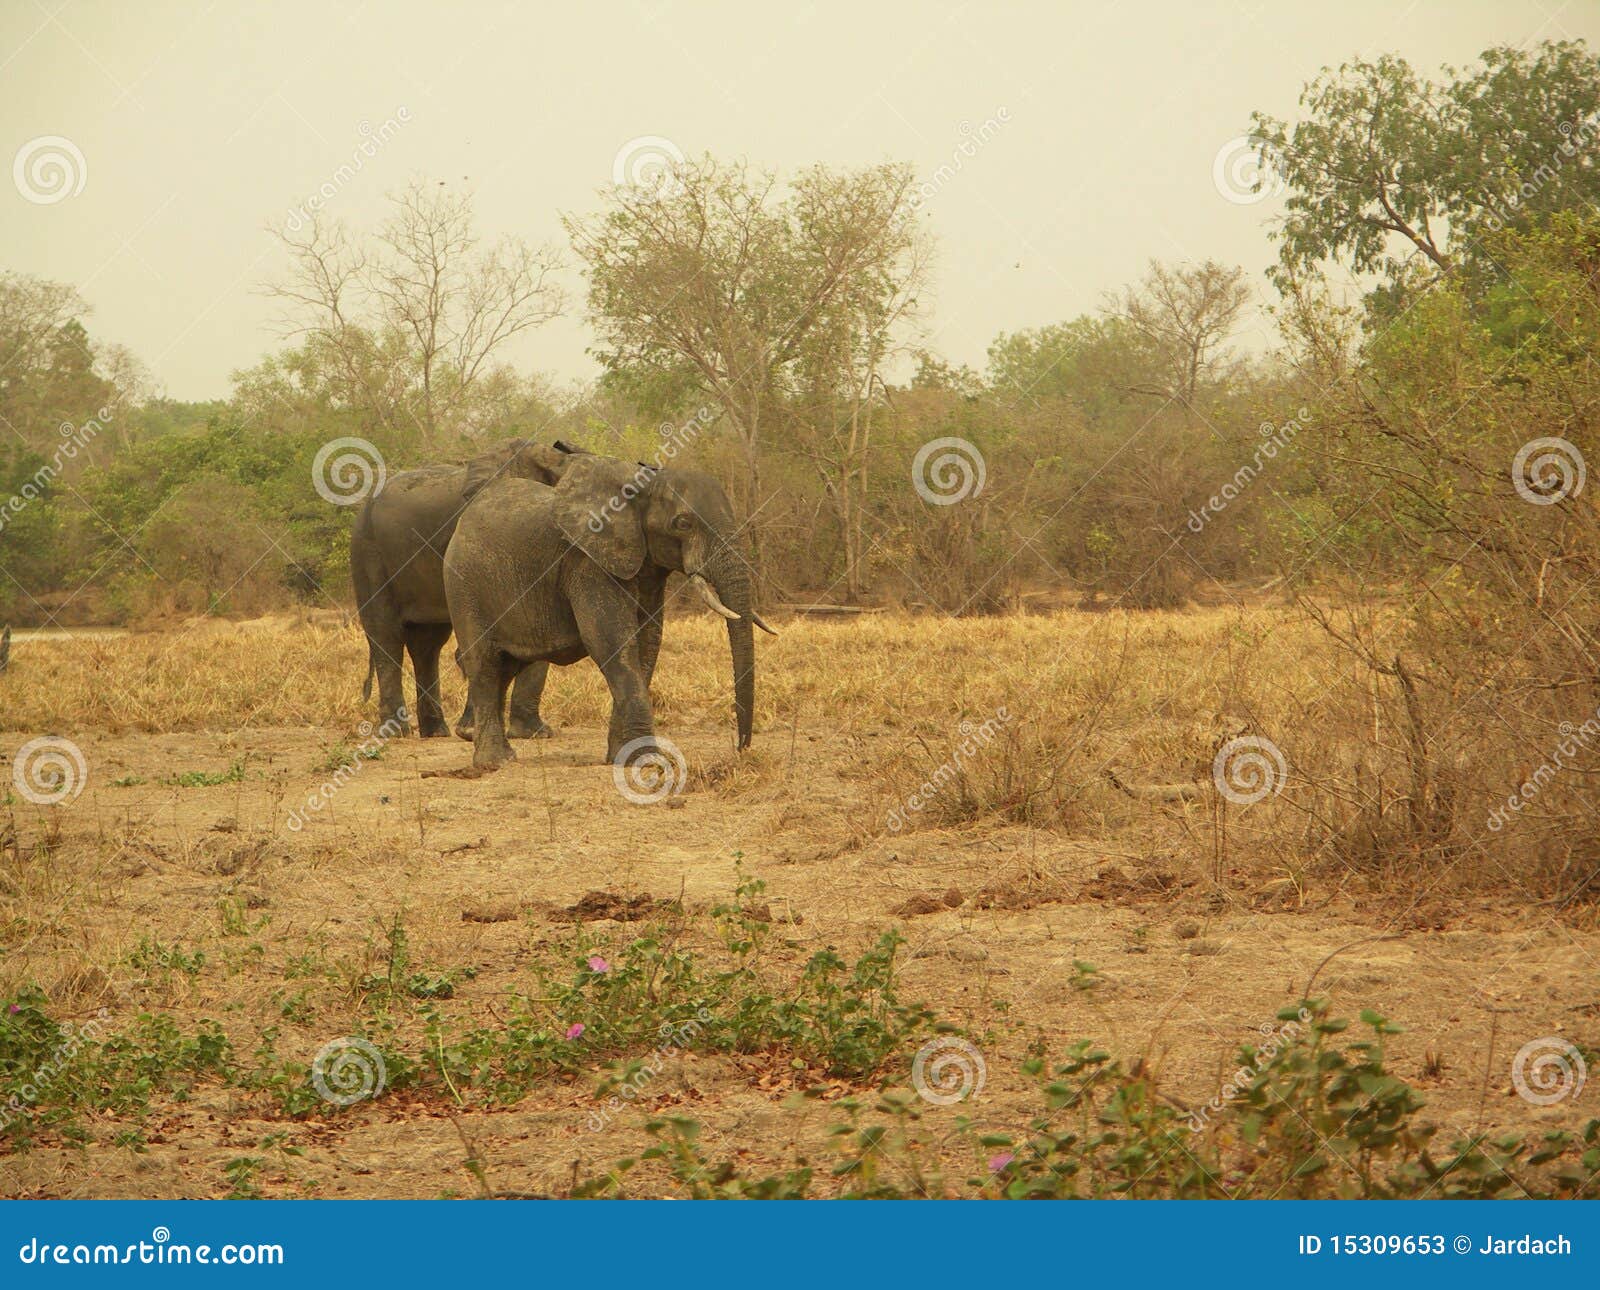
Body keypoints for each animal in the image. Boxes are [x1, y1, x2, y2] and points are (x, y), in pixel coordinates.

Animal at [351, 438, 583, 738]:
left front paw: (533, 734)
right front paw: (475, 732)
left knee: (427, 643)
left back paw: (436, 732)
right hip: (367, 551)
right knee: (386, 635)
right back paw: (397, 733)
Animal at [443, 453, 775, 769]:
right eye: (682, 523)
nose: (741, 749)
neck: (641, 486)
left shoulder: (645, 567)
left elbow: (646, 645)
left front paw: (621, 758)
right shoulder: (587, 564)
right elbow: (611, 642)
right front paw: (646, 761)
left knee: (507, 667)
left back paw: (504, 756)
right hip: (463, 587)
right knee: (485, 664)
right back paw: (494, 762)